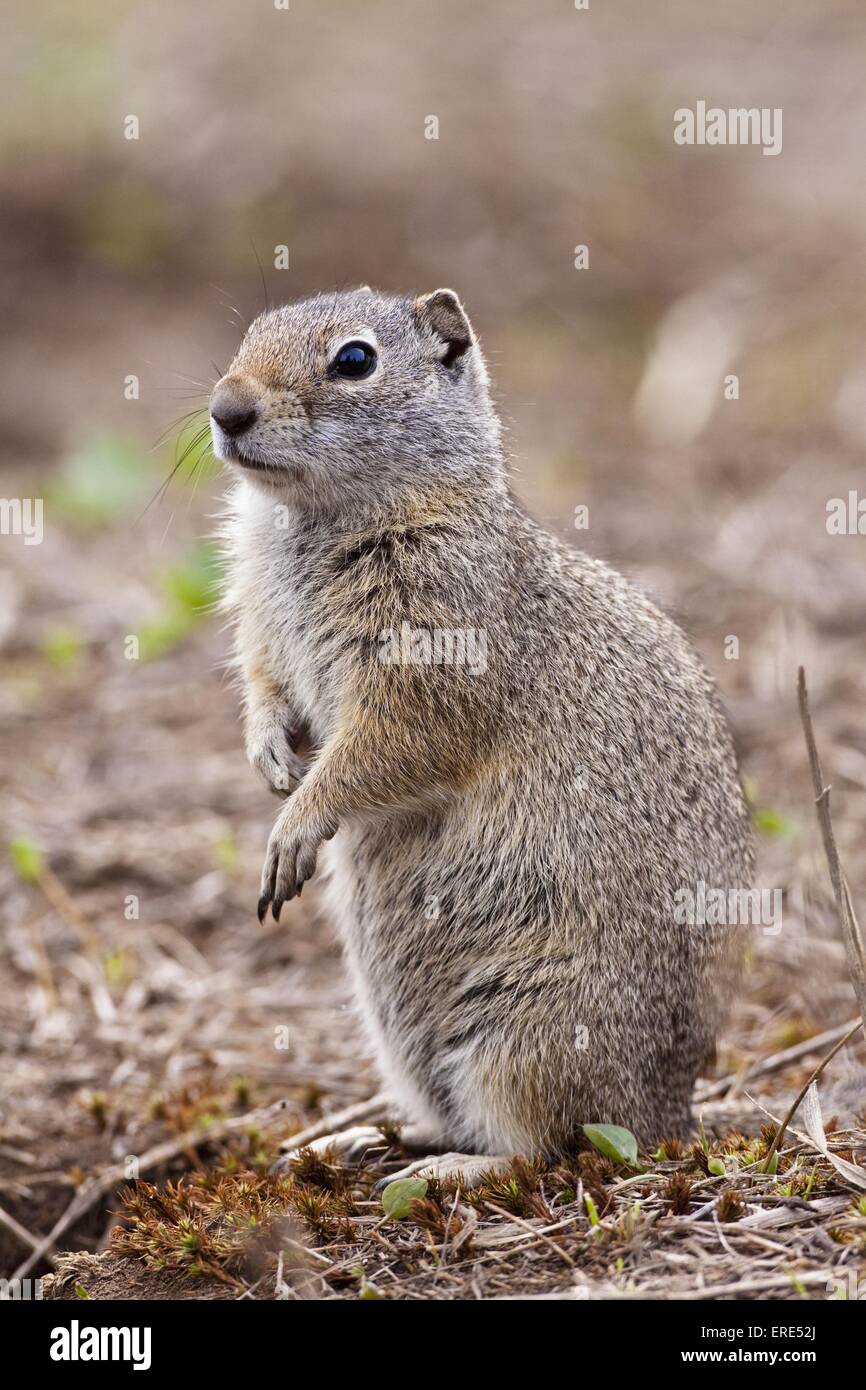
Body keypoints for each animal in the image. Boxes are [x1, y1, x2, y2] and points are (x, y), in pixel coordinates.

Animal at [212, 286, 755, 1182]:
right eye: (252, 330)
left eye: (354, 360)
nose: (226, 409)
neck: (309, 520)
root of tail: (672, 1117)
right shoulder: (264, 630)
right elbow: (266, 687)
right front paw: (268, 758)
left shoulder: (431, 666)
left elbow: (387, 747)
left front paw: (295, 826)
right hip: (404, 1035)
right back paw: (360, 1138)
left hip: (529, 1031)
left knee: (549, 1147)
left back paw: (448, 1170)